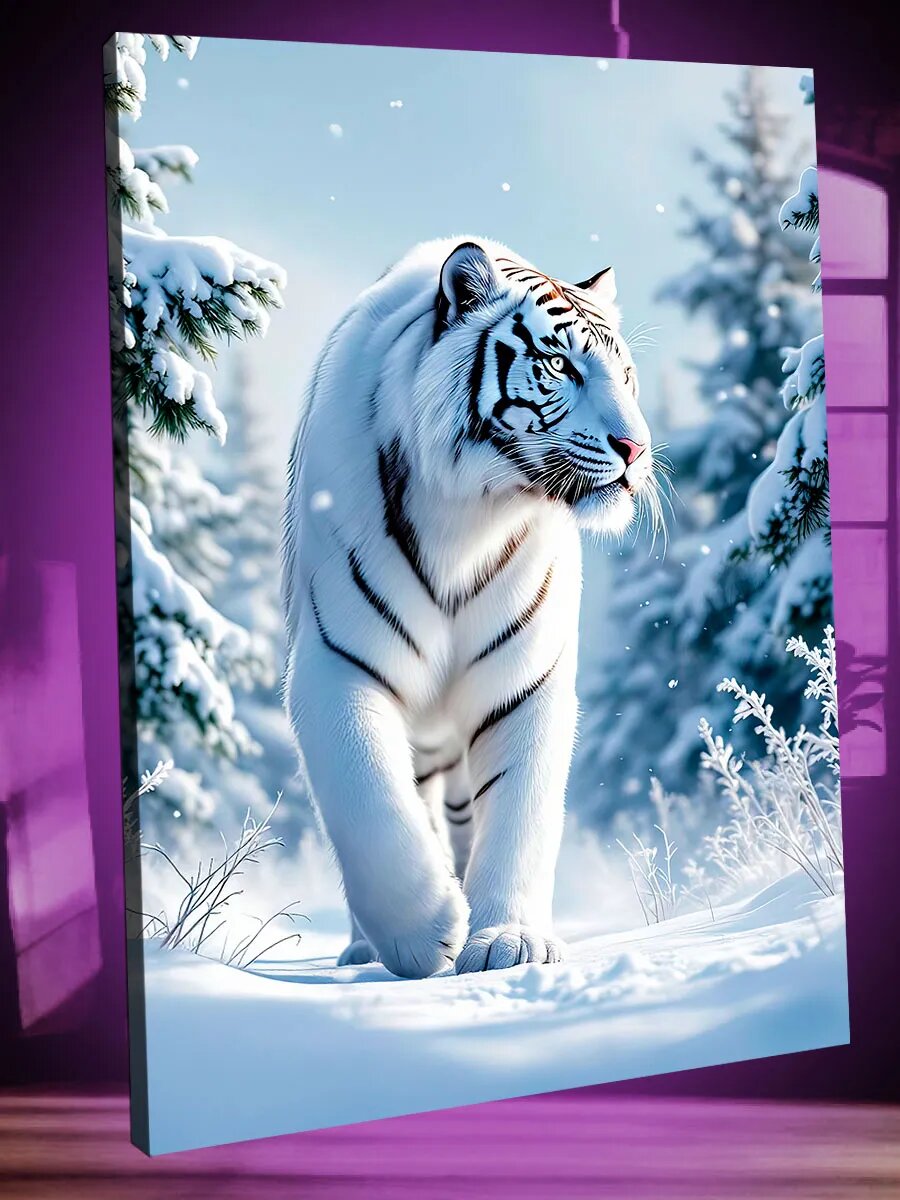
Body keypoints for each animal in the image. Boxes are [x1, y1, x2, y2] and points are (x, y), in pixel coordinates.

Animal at [281, 237, 658, 979]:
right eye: (559, 364)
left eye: (626, 376)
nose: (636, 449)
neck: (470, 516)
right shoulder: (337, 664)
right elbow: (368, 802)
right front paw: (424, 933)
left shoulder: (526, 680)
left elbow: (519, 812)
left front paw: (507, 943)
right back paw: (366, 946)